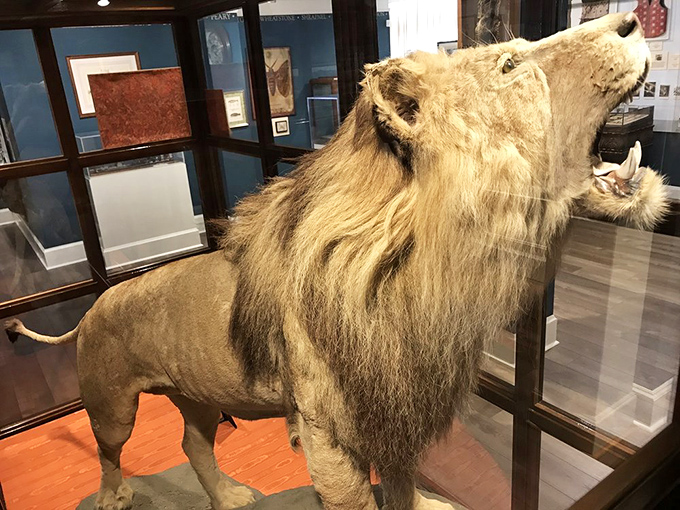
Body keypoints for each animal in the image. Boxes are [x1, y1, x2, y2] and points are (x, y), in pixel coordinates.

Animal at [5, 12, 668, 510]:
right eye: (510, 64)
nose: (633, 19)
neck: (426, 269)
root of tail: (94, 307)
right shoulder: (327, 429)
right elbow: (356, 498)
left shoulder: (396, 399)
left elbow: (401, 479)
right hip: (111, 401)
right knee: (109, 452)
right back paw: (113, 498)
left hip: (195, 393)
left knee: (194, 446)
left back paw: (229, 497)